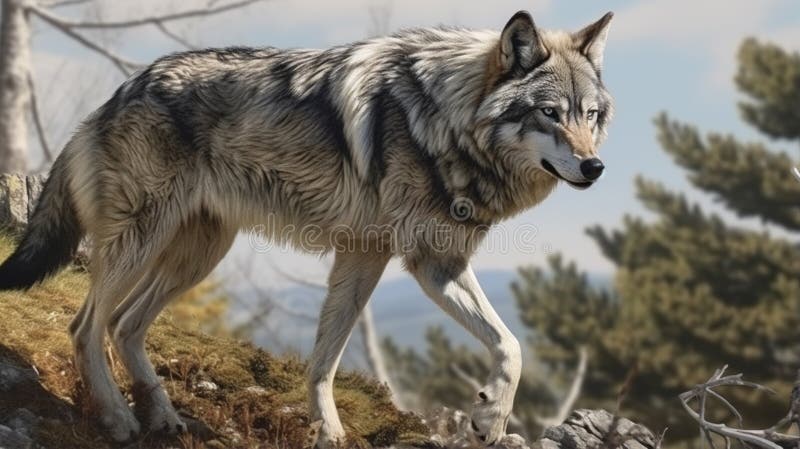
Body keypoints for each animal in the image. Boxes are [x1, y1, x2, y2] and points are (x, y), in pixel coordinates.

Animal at [0, 10, 614, 447]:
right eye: (550, 114)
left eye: (589, 115)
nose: (594, 168)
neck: (443, 119)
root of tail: (116, 94)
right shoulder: (426, 263)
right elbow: (510, 344)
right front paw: (488, 419)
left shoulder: (378, 256)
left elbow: (330, 360)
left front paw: (332, 431)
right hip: (144, 244)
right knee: (85, 326)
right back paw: (119, 420)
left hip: (199, 254)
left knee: (123, 325)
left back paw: (164, 419)